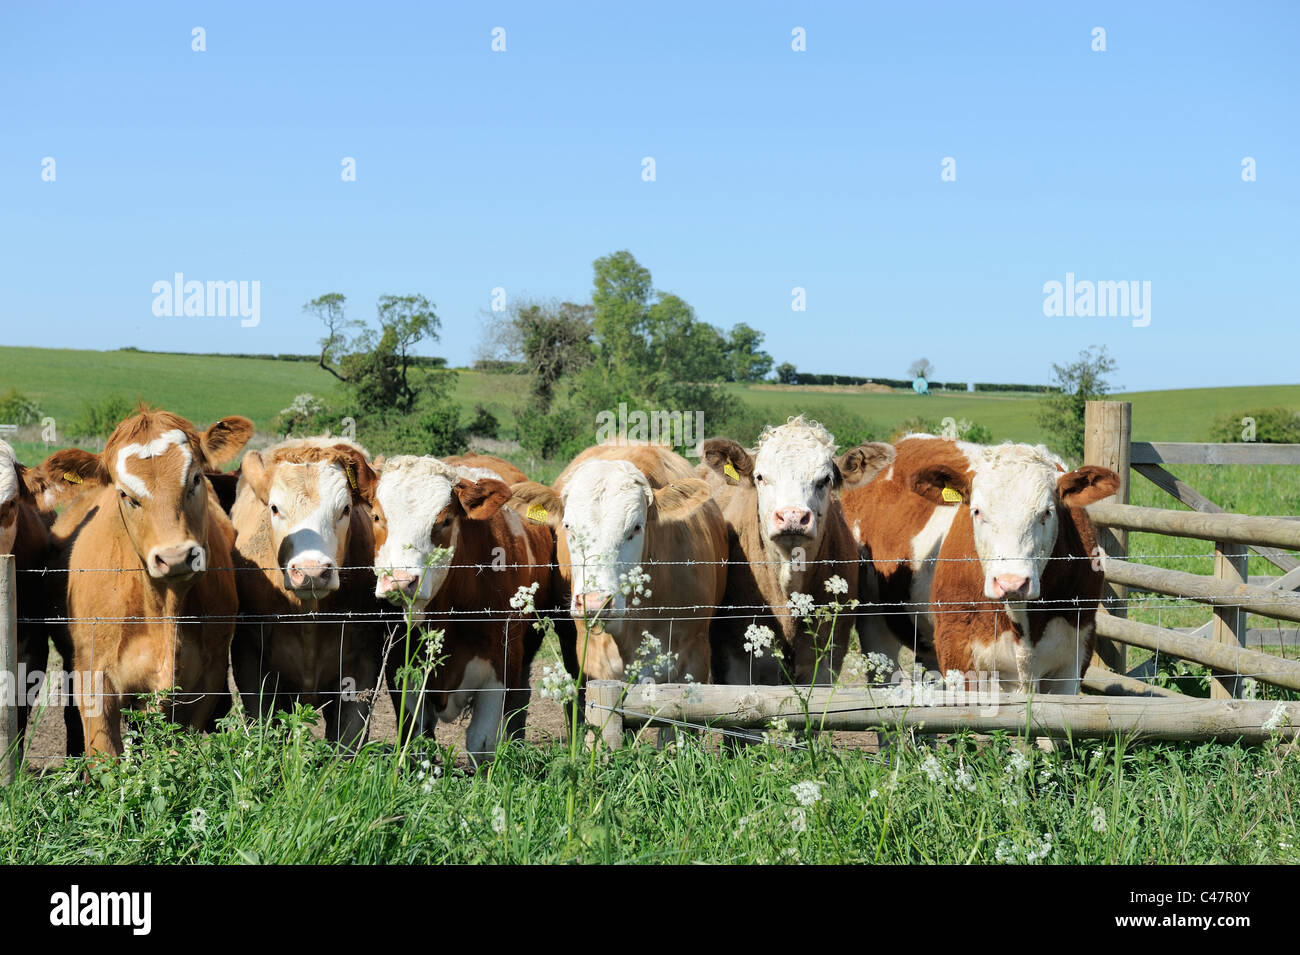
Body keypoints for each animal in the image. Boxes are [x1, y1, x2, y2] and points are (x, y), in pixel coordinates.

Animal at [46, 410, 252, 756]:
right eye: (126, 495)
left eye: (195, 479)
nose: (176, 556)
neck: (163, 608)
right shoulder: (93, 676)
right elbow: (104, 756)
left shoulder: (206, 680)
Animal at [361, 456, 555, 761]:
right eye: (377, 517)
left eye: (445, 520)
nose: (400, 581)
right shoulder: (401, 669)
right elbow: (416, 740)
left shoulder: (501, 668)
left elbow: (482, 743)